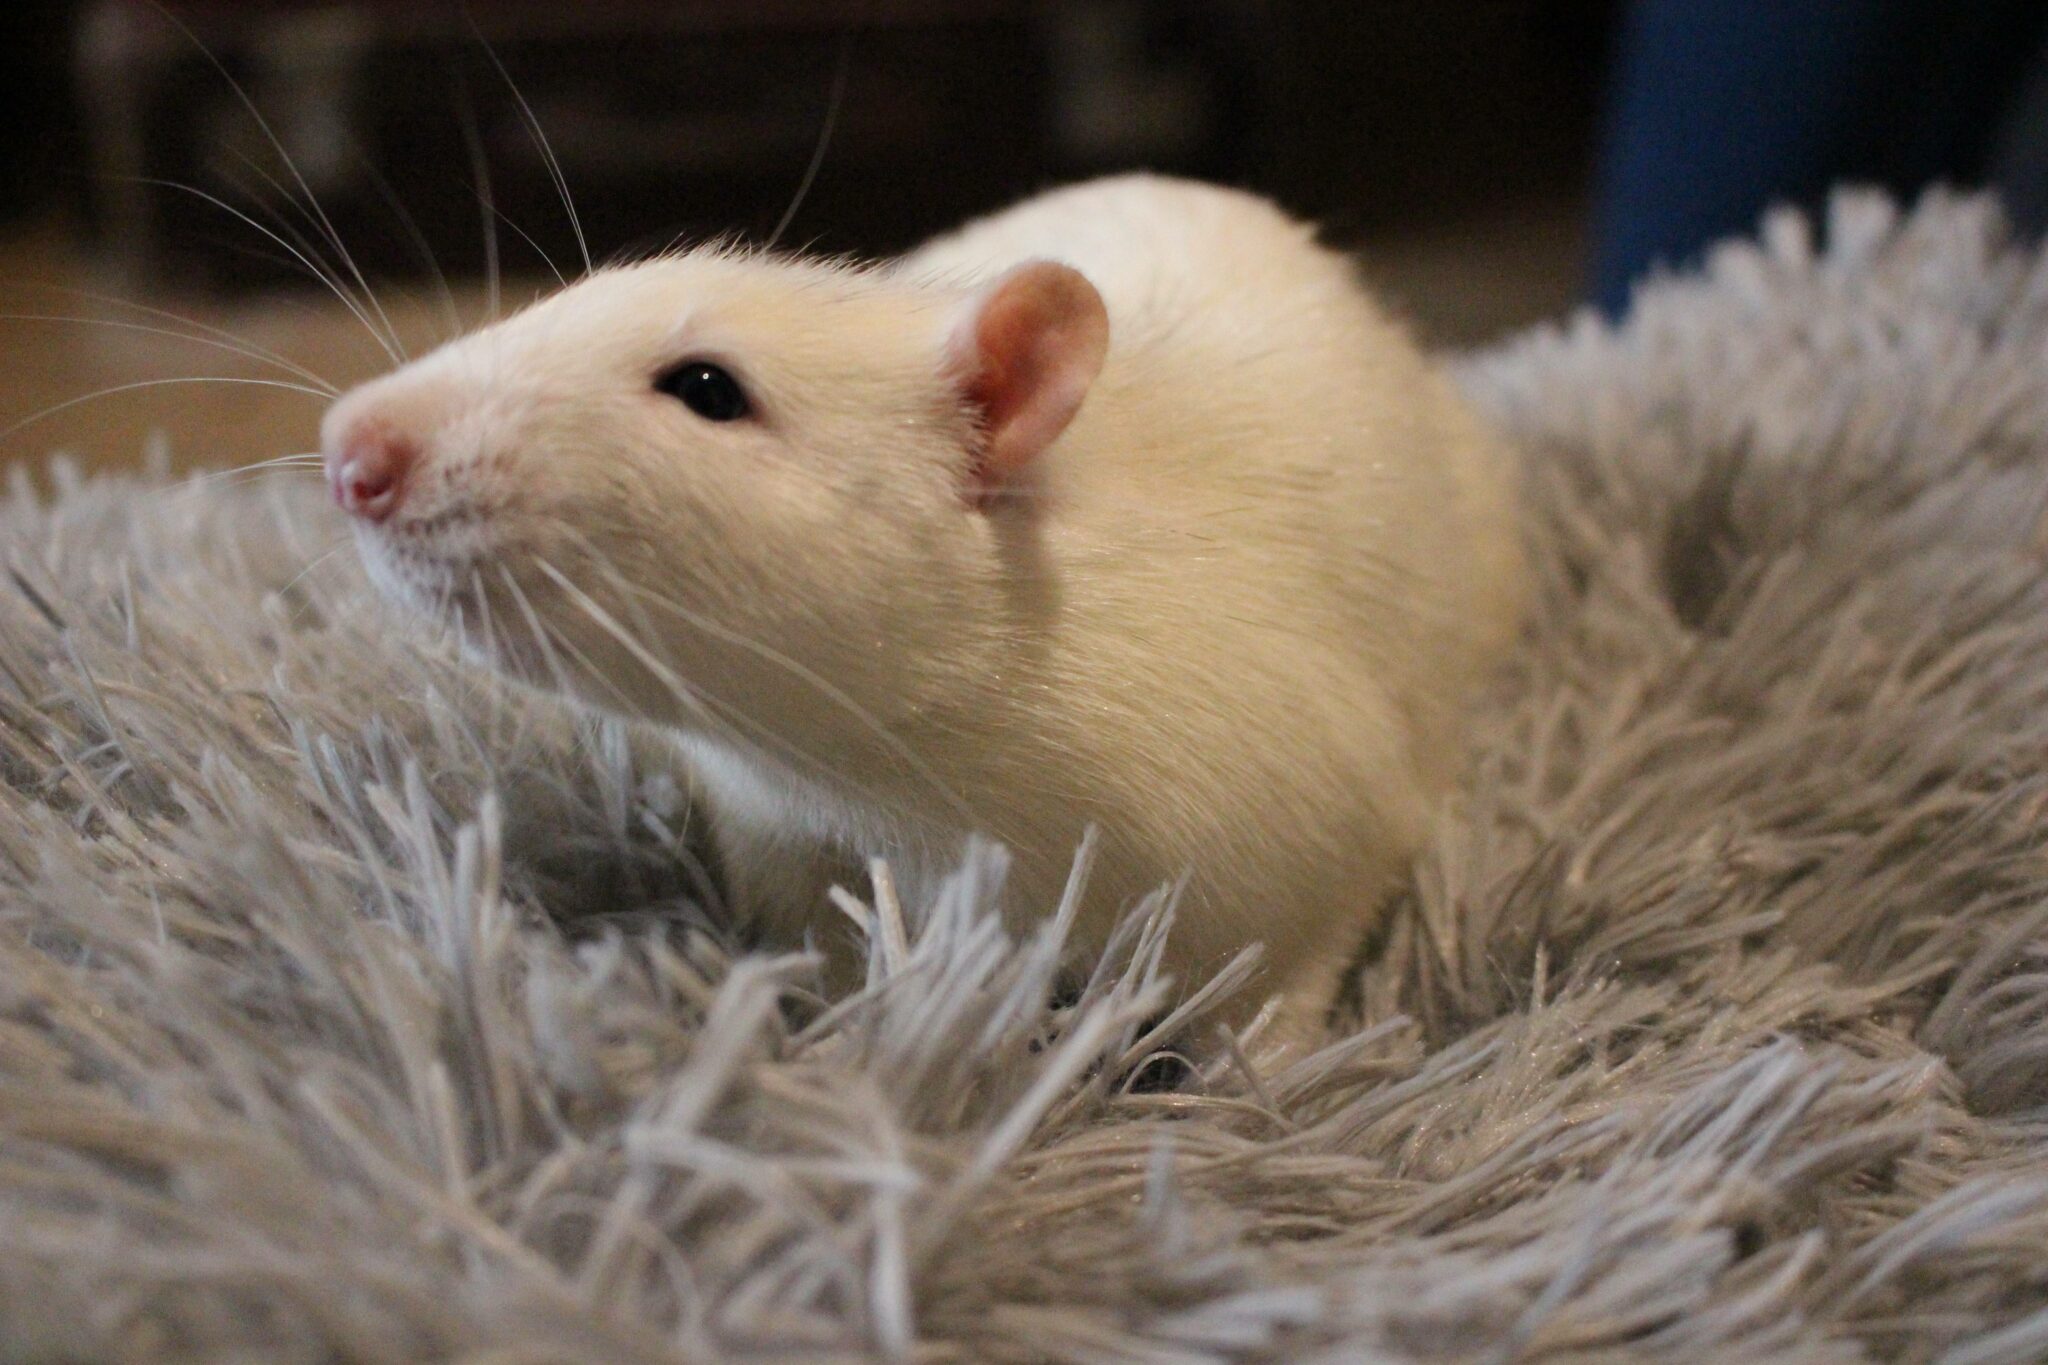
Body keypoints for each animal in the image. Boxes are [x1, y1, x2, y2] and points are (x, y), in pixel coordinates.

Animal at [319, 175, 1526, 1054]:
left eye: (706, 388)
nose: (351, 453)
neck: (888, 770)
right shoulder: (795, 853)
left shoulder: (1287, 816)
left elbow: (1285, 972)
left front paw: (1254, 1093)